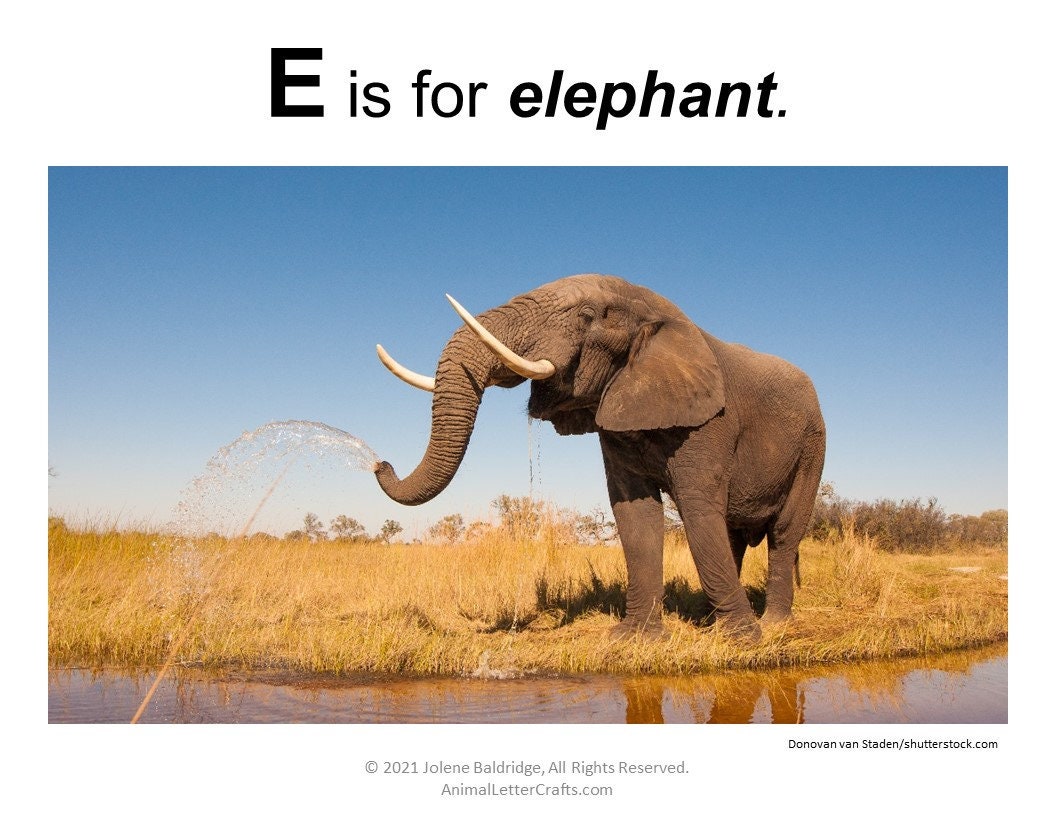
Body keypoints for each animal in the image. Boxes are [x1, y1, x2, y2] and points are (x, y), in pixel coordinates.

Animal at [373, 274, 826, 642]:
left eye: (588, 315)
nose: (380, 463)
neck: (657, 312)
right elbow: (635, 512)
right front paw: (633, 639)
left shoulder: (712, 421)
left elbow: (697, 509)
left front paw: (742, 641)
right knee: (732, 534)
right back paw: (716, 619)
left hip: (813, 447)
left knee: (783, 533)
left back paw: (771, 625)